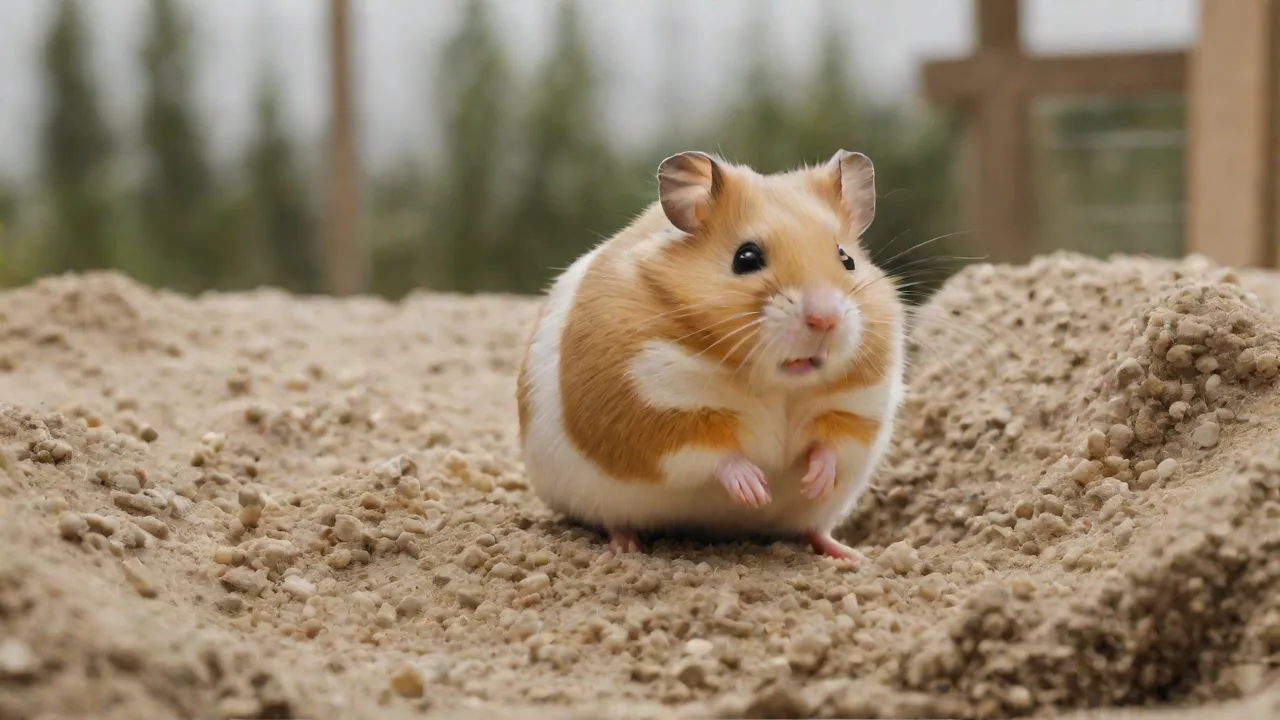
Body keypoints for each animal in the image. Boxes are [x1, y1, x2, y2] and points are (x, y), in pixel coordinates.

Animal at [515, 149, 905, 564]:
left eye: (846, 258)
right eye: (746, 257)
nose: (826, 319)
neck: (778, 382)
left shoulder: (859, 405)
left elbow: (833, 444)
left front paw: (814, 482)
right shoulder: (658, 406)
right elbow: (715, 452)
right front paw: (756, 489)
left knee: (814, 530)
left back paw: (850, 554)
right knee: (616, 521)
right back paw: (626, 547)